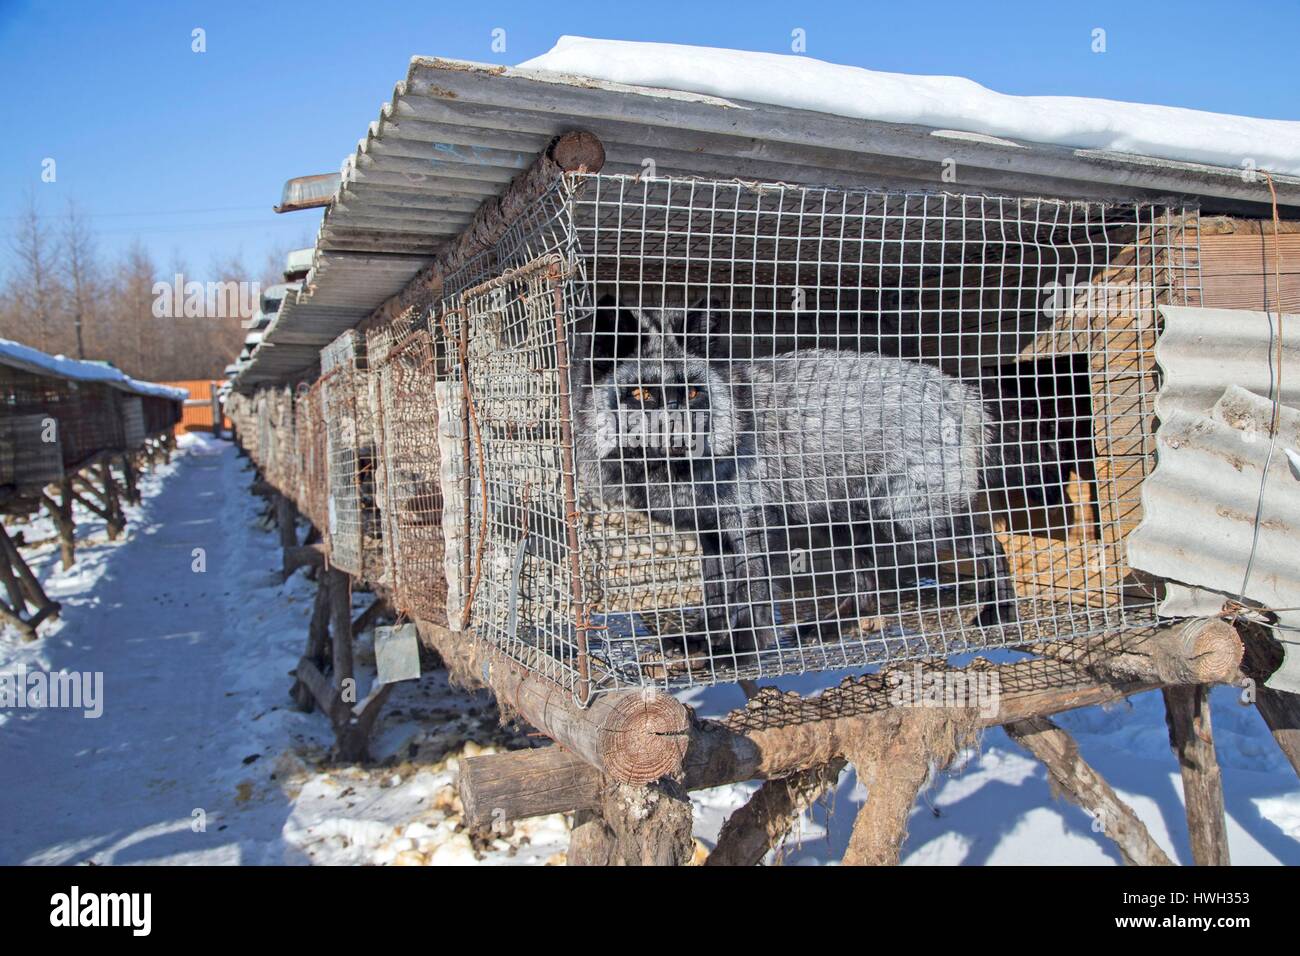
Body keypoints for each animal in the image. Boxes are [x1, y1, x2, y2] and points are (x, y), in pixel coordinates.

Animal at [573, 300, 1017, 659]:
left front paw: (740, 651)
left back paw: (1000, 611)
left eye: (694, 393)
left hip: (909, 522)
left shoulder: (750, 525)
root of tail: (963, 394)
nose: (682, 433)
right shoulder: (711, 534)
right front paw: (704, 641)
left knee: (989, 543)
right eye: (642, 394)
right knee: (867, 586)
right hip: (850, 524)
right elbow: (716, 596)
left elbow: (752, 596)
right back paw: (824, 629)